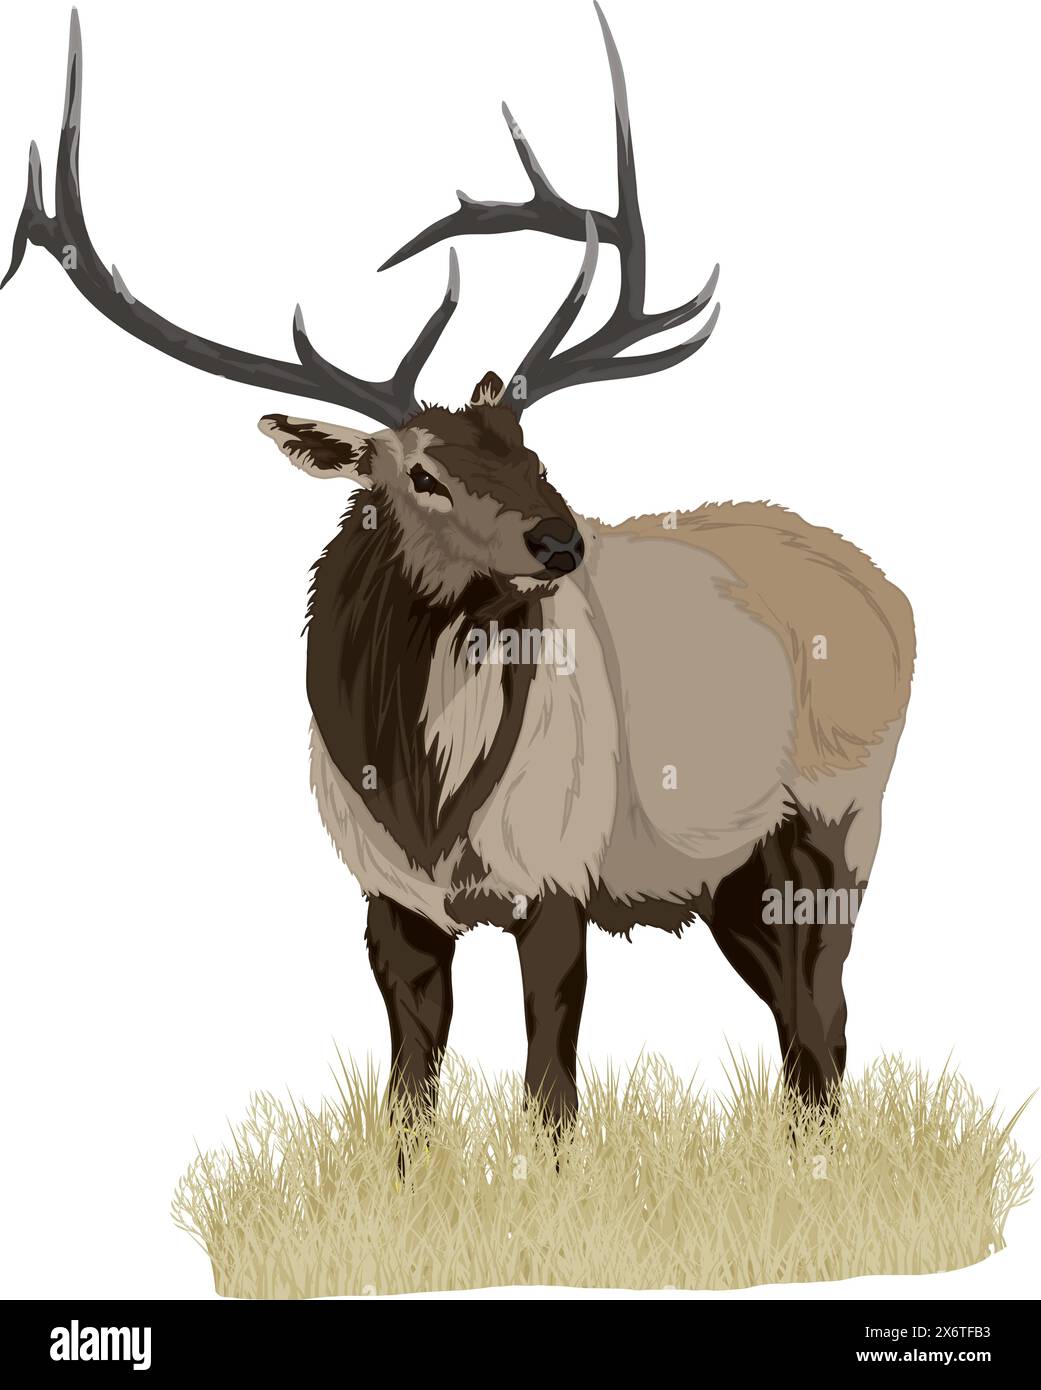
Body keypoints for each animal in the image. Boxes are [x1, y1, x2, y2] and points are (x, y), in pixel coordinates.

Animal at [3, 7, 914, 1128]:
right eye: (424, 474)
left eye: (532, 450)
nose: (561, 542)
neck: (419, 791)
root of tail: (893, 590)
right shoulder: (388, 898)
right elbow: (408, 1089)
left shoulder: (560, 876)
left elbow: (551, 1093)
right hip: (731, 879)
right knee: (801, 1023)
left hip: (839, 819)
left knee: (823, 1018)